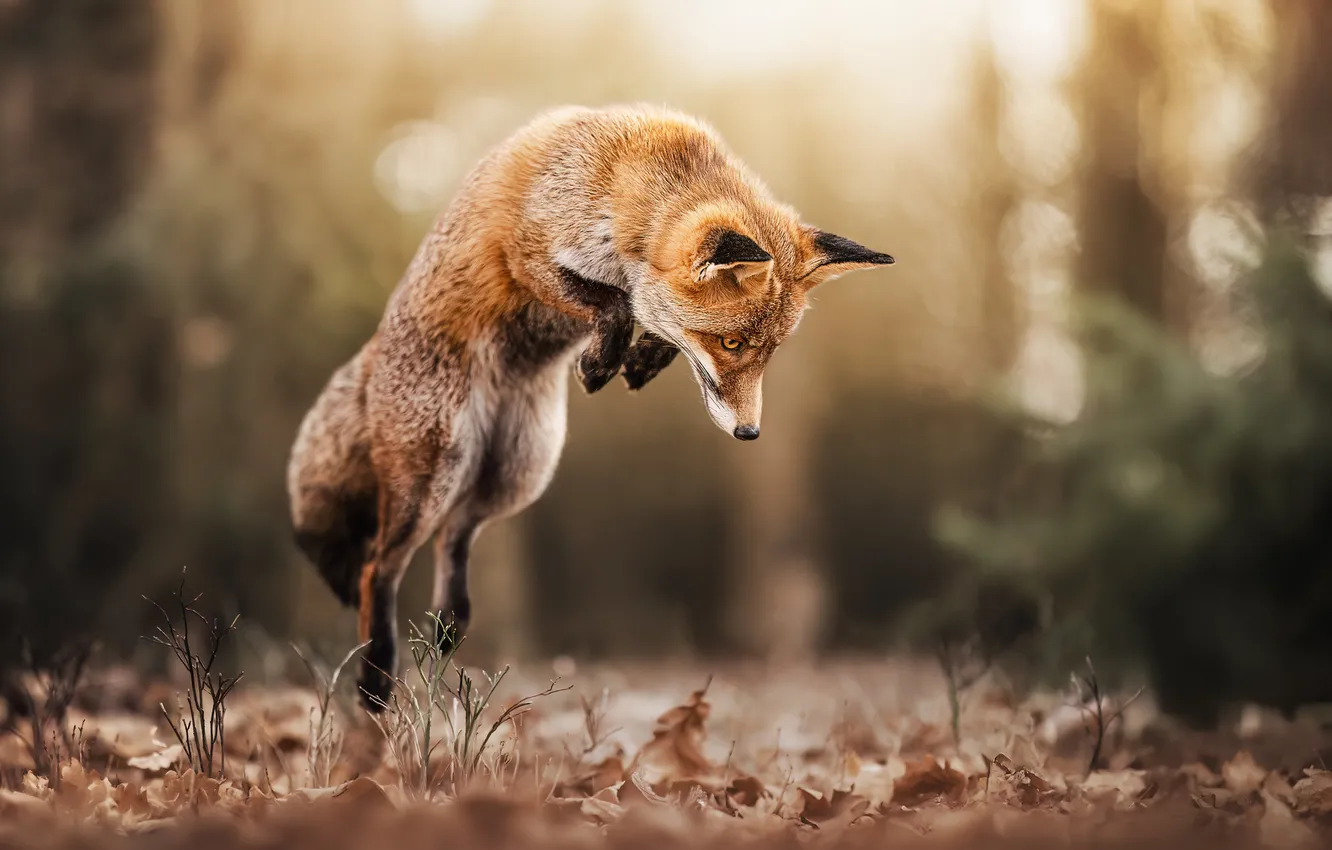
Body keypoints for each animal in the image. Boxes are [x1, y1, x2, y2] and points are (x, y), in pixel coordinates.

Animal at [287, 104, 895, 710]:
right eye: (731, 344)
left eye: (768, 352)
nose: (750, 434)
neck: (618, 182)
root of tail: (371, 355)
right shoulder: (525, 251)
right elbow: (617, 300)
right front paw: (603, 358)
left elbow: (645, 307)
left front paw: (643, 356)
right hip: (434, 474)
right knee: (377, 566)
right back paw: (375, 681)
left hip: (515, 475)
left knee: (455, 536)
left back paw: (447, 628)